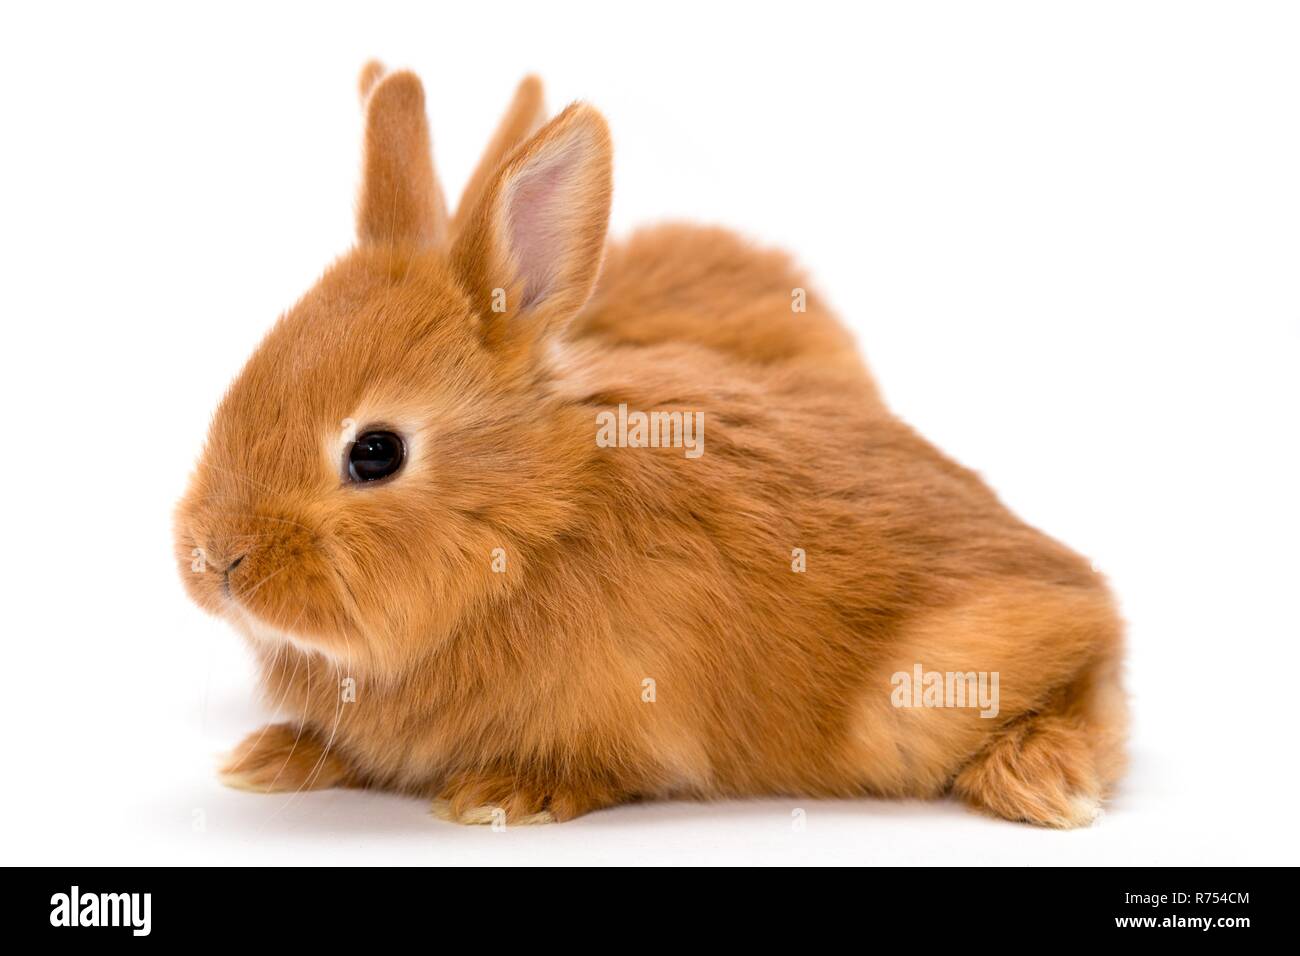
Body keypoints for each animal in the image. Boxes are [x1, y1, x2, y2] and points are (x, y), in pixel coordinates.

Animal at [175, 62, 1126, 828]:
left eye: (375, 453)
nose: (215, 558)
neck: (530, 533)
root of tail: (1084, 589)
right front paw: (274, 757)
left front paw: (504, 795)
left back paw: (1042, 780)